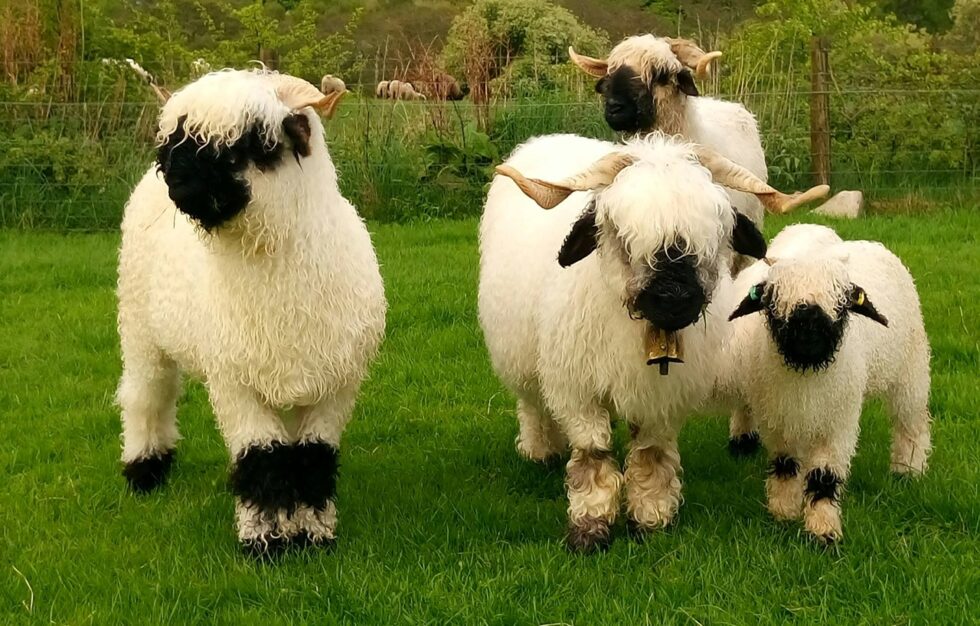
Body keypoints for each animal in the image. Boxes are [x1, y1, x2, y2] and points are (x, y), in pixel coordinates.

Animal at [116, 69, 386, 555]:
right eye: (176, 138)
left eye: (256, 142)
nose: (177, 181)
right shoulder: (234, 383)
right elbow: (262, 459)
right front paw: (267, 542)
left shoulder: (336, 385)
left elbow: (313, 458)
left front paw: (314, 535)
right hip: (140, 328)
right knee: (146, 396)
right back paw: (145, 470)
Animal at [480, 132, 828, 551]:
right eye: (619, 234)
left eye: (715, 234)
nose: (674, 297)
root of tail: (547, 138)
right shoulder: (578, 391)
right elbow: (592, 456)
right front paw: (590, 529)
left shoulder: (660, 398)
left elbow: (651, 454)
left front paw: (651, 519)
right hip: (523, 359)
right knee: (532, 404)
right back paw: (539, 450)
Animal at [723, 225, 931, 544]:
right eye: (774, 304)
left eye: (842, 306)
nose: (808, 333)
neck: (806, 374)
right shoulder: (779, 417)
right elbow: (785, 465)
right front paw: (783, 512)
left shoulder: (837, 422)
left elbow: (824, 476)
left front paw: (823, 531)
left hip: (911, 368)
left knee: (911, 423)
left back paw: (908, 470)